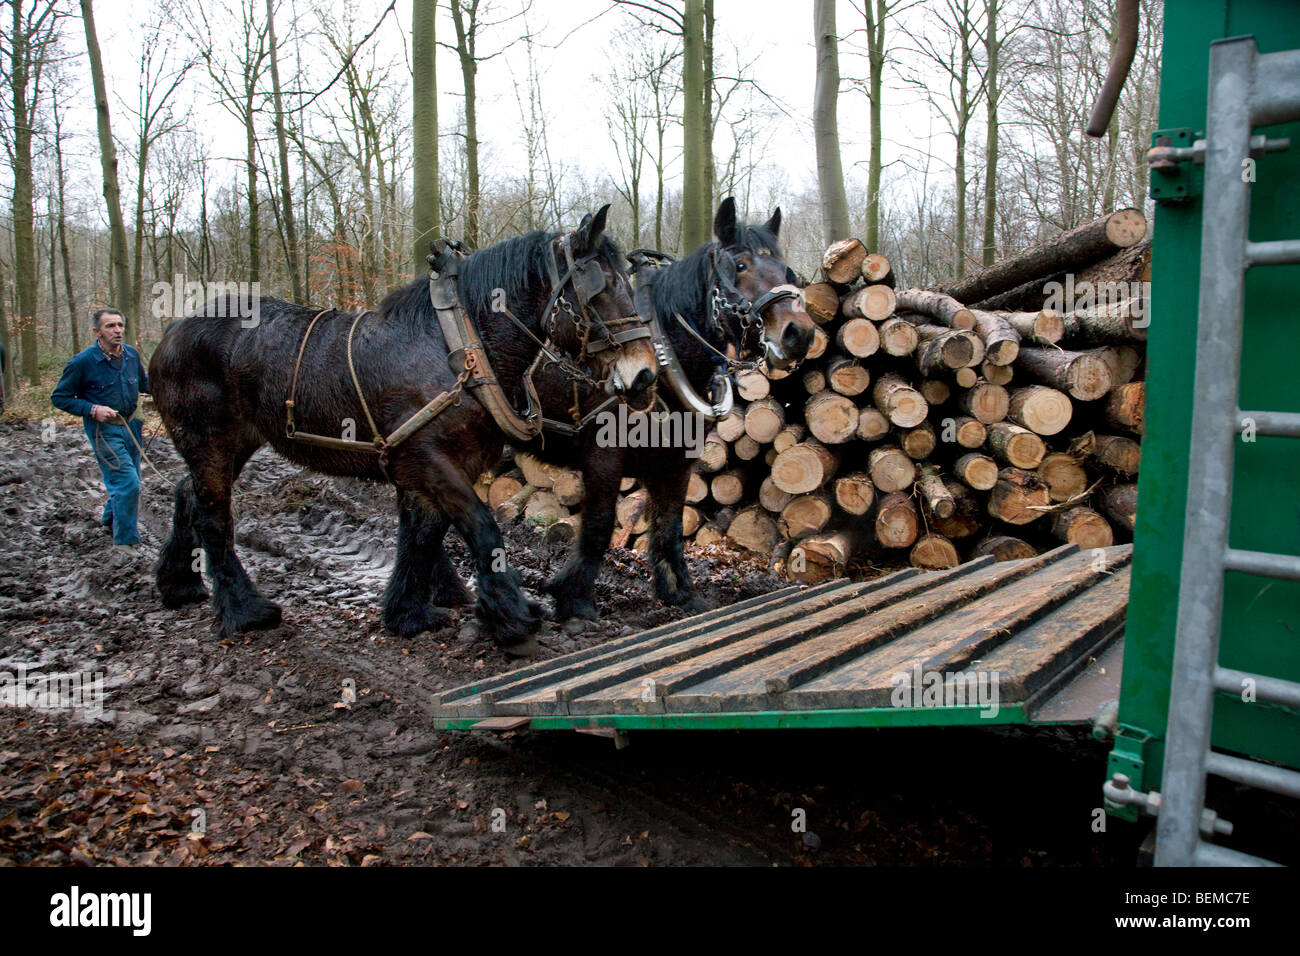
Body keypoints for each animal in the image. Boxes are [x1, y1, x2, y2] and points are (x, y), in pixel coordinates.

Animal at [148, 206, 657, 654]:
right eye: (602, 286)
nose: (644, 375)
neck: (458, 349)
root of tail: (170, 332)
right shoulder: (428, 460)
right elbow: (482, 527)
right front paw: (514, 619)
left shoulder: (431, 468)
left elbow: (422, 535)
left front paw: (409, 614)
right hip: (210, 441)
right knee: (214, 516)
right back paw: (245, 610)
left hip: (236, 443)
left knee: (188, 494)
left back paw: (179, 584)